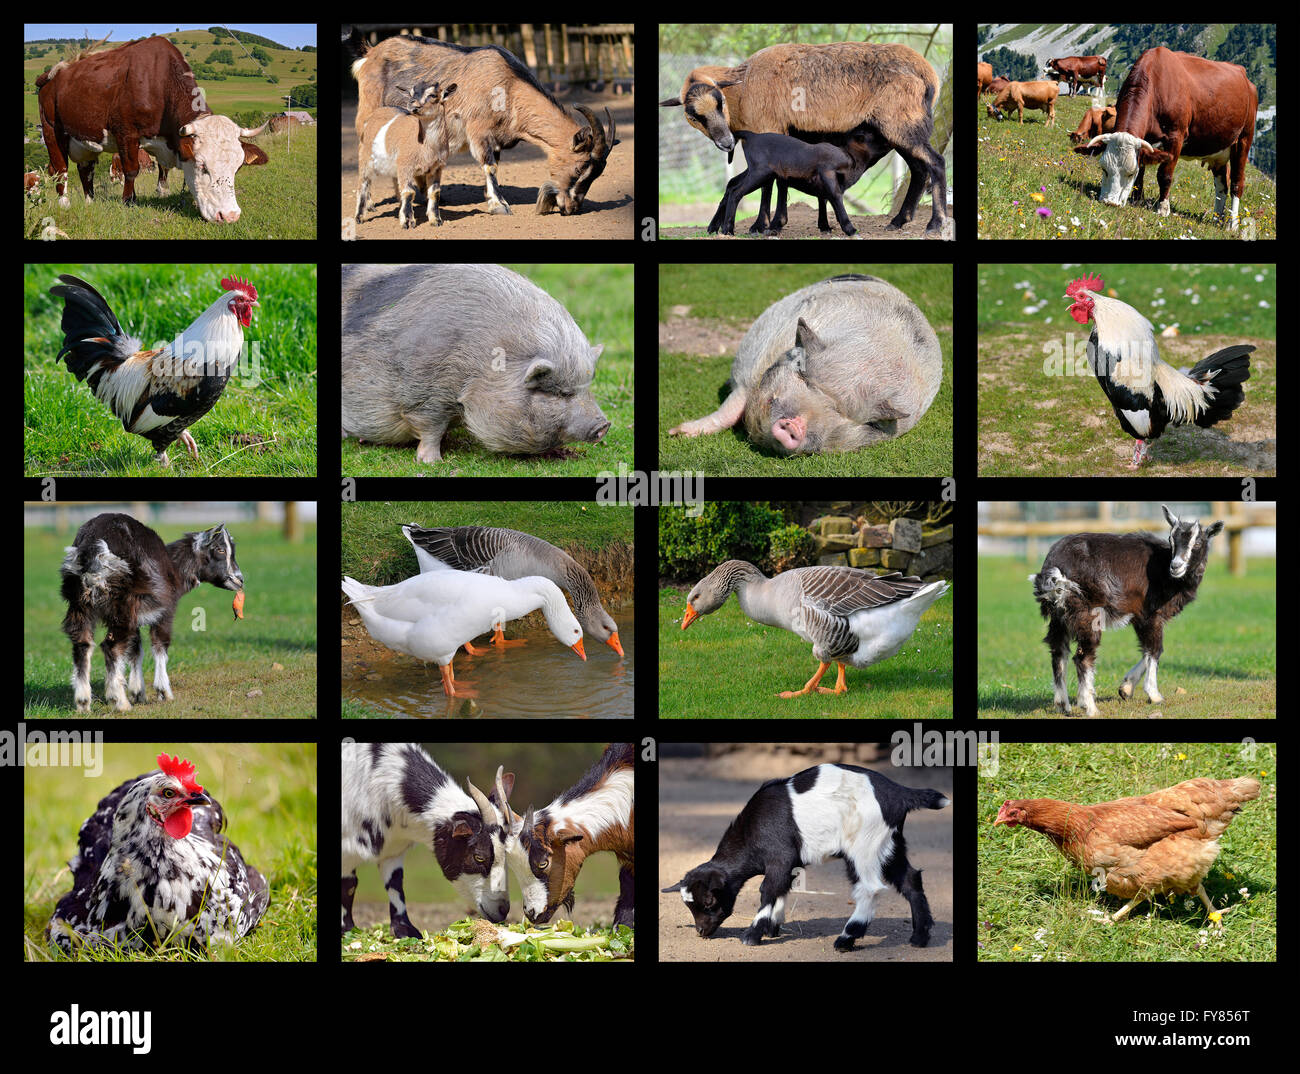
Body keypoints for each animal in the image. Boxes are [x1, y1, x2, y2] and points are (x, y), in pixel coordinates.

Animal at [341, 263, 611, 463]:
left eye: (586, 388)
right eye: (561, 393)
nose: (604, 424)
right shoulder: (423, 392)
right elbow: (430, 428)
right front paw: (432, 463)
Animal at [668, 274, 942, 455]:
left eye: (866, 421)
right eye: (802, 373)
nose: (794, 425)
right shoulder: (754, 364)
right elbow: (732, 405)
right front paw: (675, 433)